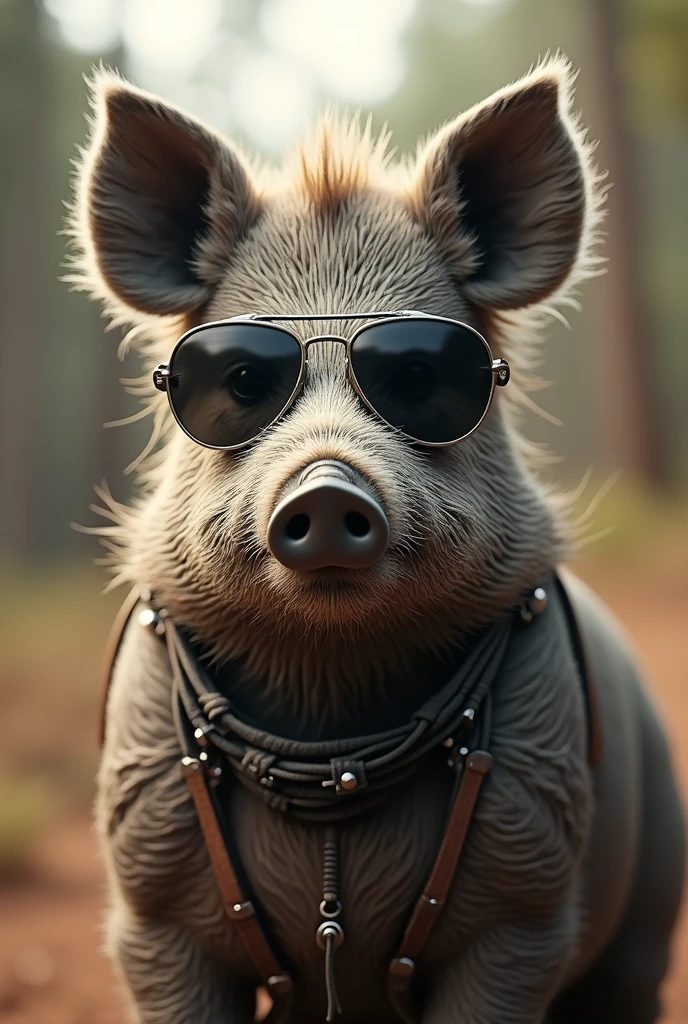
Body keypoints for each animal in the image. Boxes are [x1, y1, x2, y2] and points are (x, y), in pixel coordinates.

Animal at [69, 56, 684, 1024]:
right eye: (239, 381)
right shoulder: (150, 904)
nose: (326, 486)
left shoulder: (525, 900)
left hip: (652, 885)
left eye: (422, 377)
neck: (332, 707)